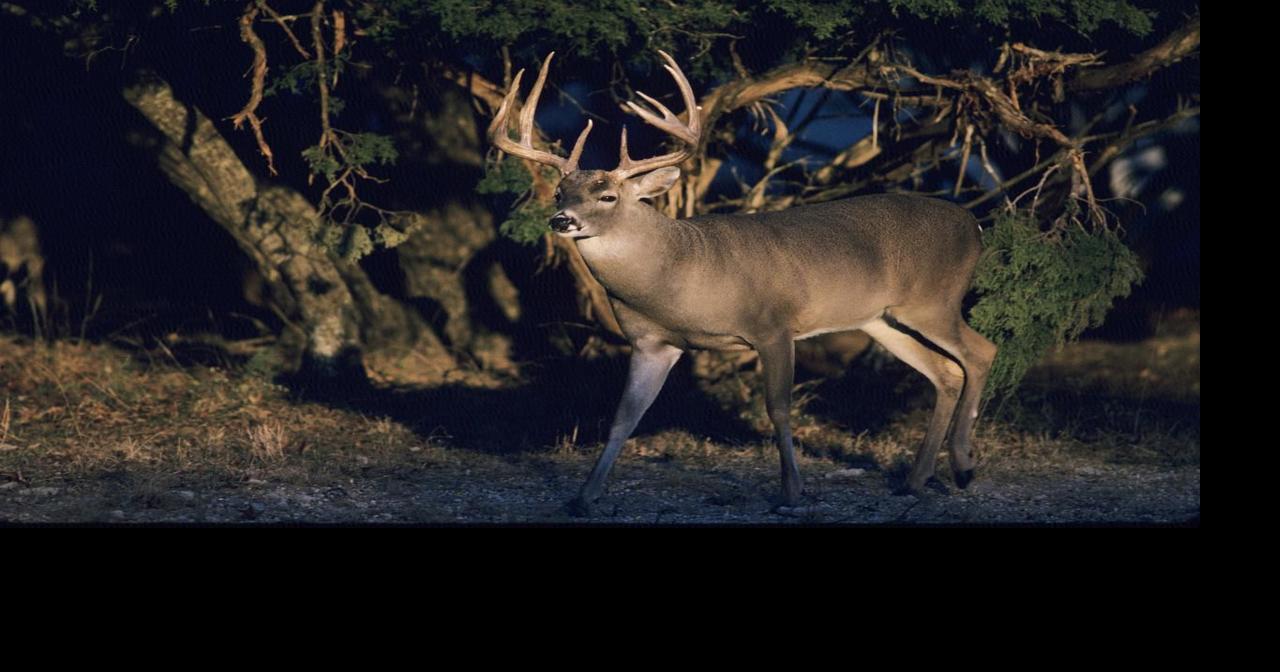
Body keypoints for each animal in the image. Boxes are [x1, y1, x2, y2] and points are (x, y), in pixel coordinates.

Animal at [488, 51, 998, 516]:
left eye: (608, 196)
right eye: (560, 192)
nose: (561, 219)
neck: (682, 274)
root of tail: (975, 225)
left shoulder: (774, 325)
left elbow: (778, 408)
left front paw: (791, 493)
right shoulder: (653, 343)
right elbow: (623, 417)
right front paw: (584, 496)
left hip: (934, 300)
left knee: (981, 351)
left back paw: (963, 466)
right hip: (883, 319)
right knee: (946, 372)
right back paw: (916, 479)